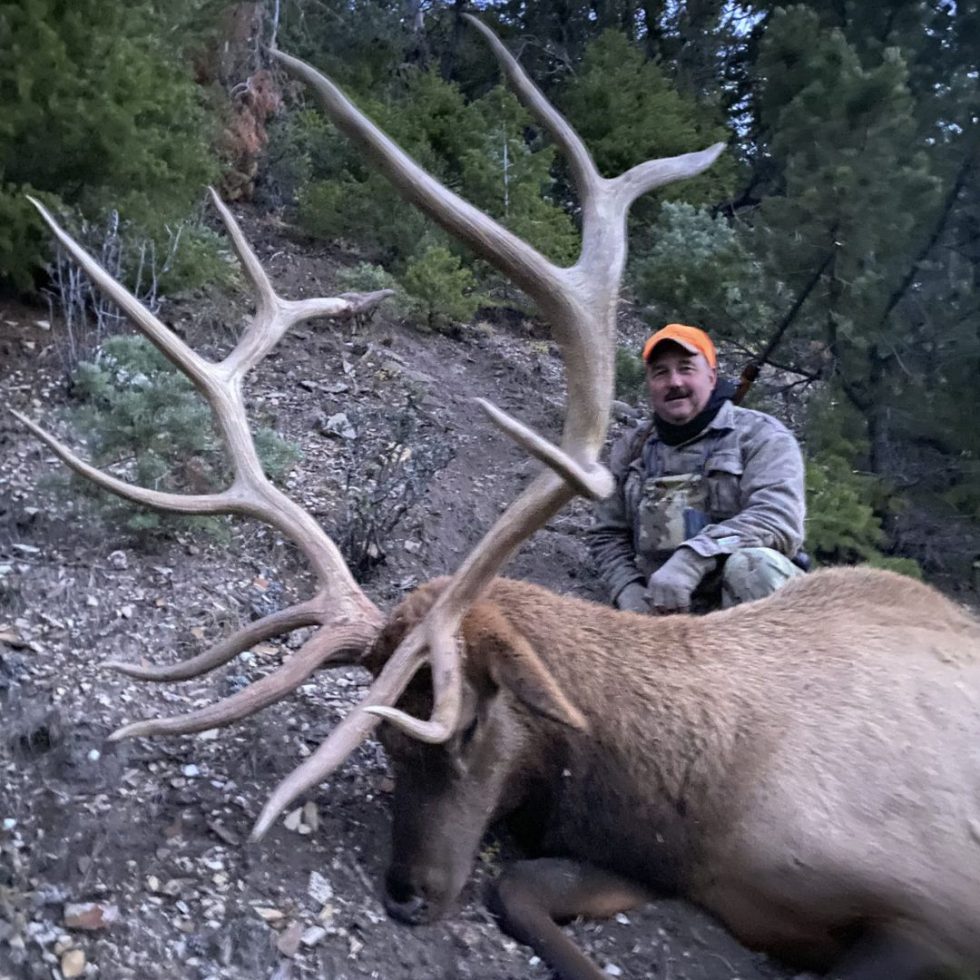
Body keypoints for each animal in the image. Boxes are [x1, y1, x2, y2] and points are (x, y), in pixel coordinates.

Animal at [12, 16, 980, 980]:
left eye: (465, 725)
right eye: (384, 735)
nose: (405, 895)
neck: (695, 794)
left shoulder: (928, 912)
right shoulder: (650, 859)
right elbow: (518, 887)